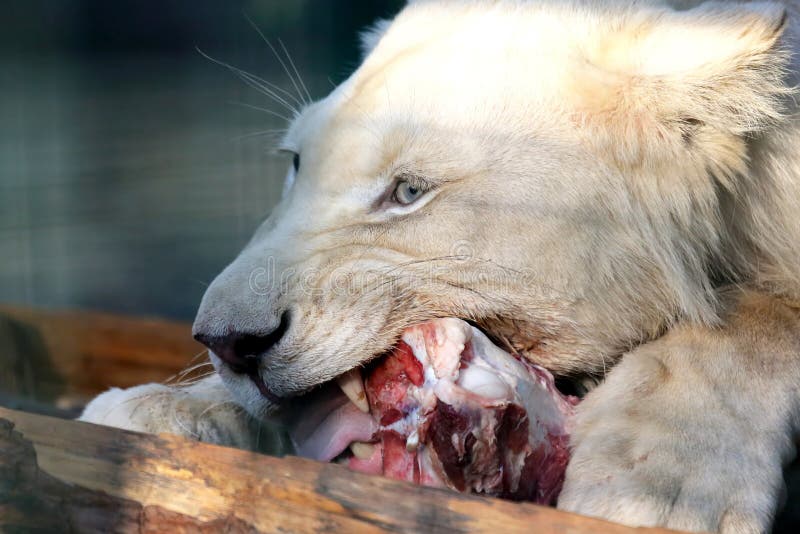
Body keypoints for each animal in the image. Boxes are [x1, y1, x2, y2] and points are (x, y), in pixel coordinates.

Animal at [81, 0, 800, 531]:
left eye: (408, 192)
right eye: (296, 164)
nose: (228, 342)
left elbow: (756, 320)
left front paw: (654, 488)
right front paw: (157, 413)